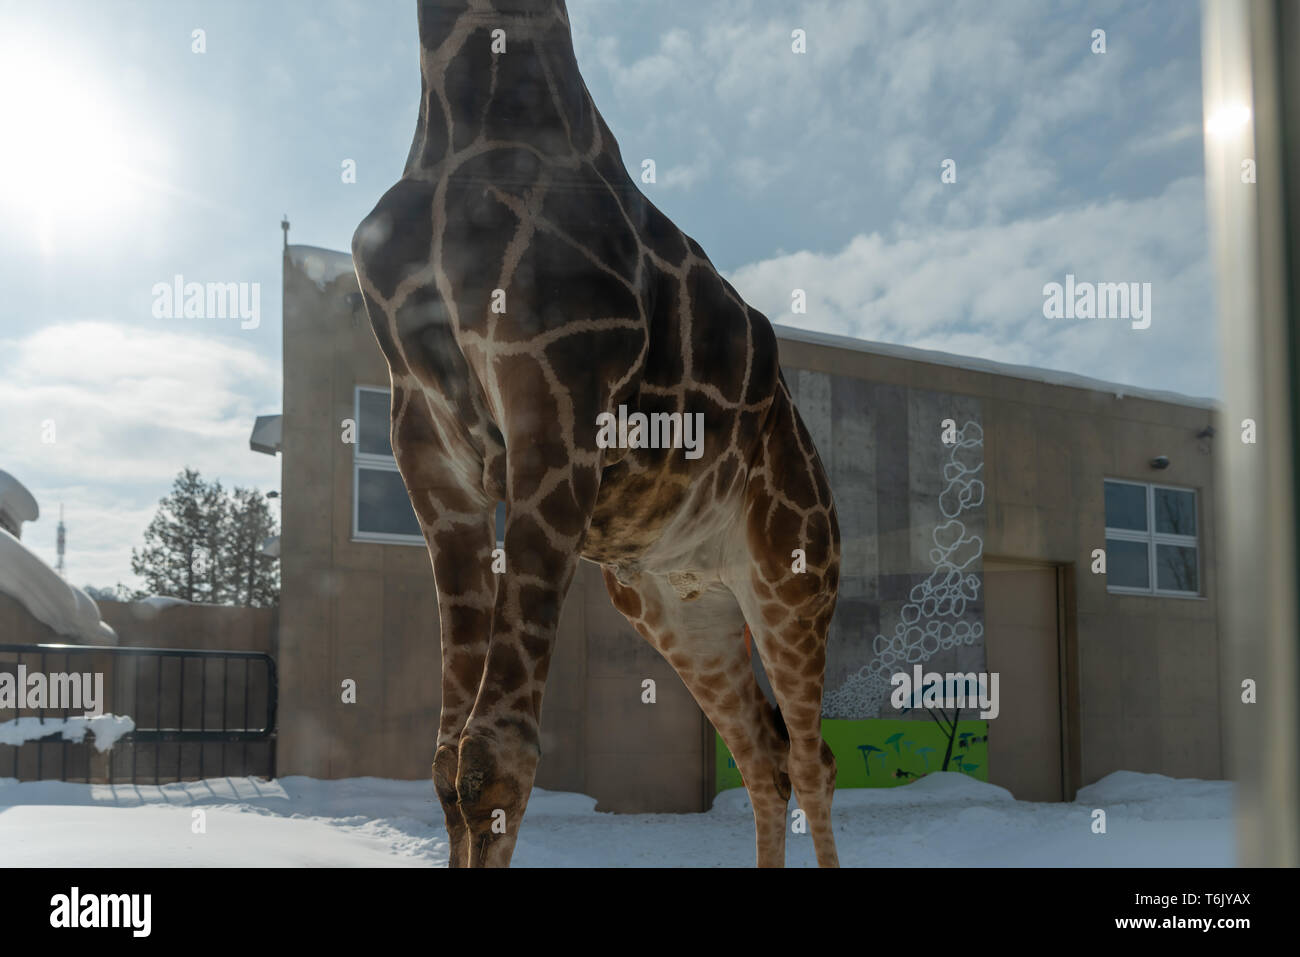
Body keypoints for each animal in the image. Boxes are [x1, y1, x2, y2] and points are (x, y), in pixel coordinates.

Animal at [352, 0, 841, 867]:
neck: (468, 113)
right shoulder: (429, 442)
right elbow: (446, 761)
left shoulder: (557, 391)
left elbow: (495, 757)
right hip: (681, 610)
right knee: (766, 757)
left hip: (795, 584)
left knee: (814, 762)